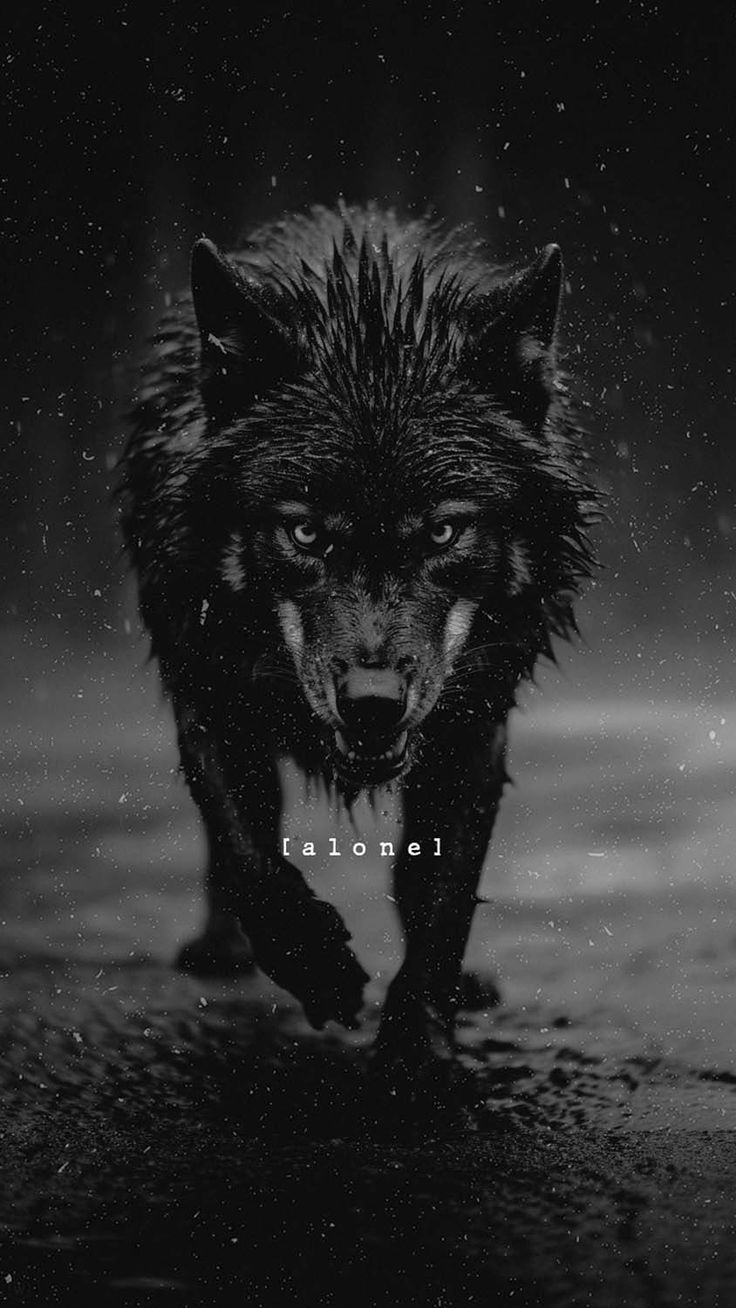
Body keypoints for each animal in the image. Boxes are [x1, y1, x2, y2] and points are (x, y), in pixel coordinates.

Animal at [119, 204, 598, 1068]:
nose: (372, 703)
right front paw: (317, 967)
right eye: (305, 532)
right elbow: (248, 854)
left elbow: (441, 895)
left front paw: (416, 1051)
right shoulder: (208, 692)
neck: (365, 310)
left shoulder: (472, 725)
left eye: (443, 530)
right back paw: (222, 949)